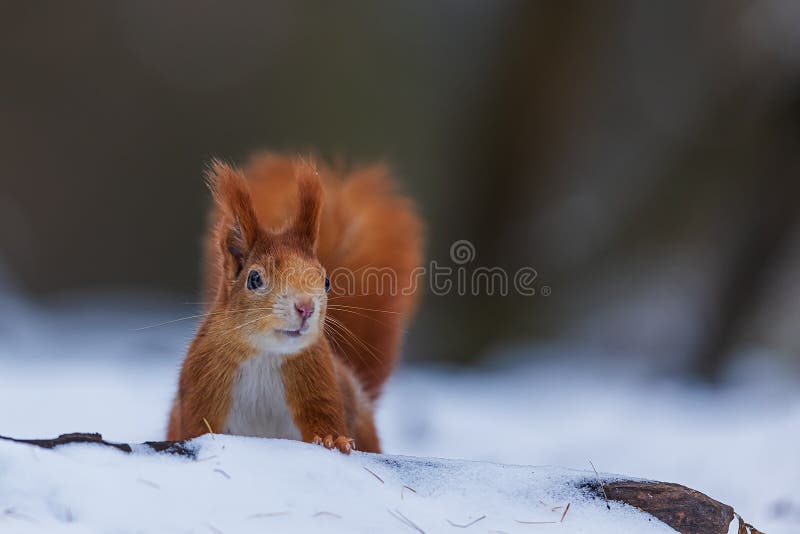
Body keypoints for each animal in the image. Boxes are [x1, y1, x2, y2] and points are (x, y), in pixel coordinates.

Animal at [166, 153, 423, 454]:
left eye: (326, 281)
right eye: (254, 279)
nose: (305, 307)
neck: (265, 355)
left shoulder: (321, 386)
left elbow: (326, 420)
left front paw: (331, 439)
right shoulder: (201, 388)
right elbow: (196, 428)